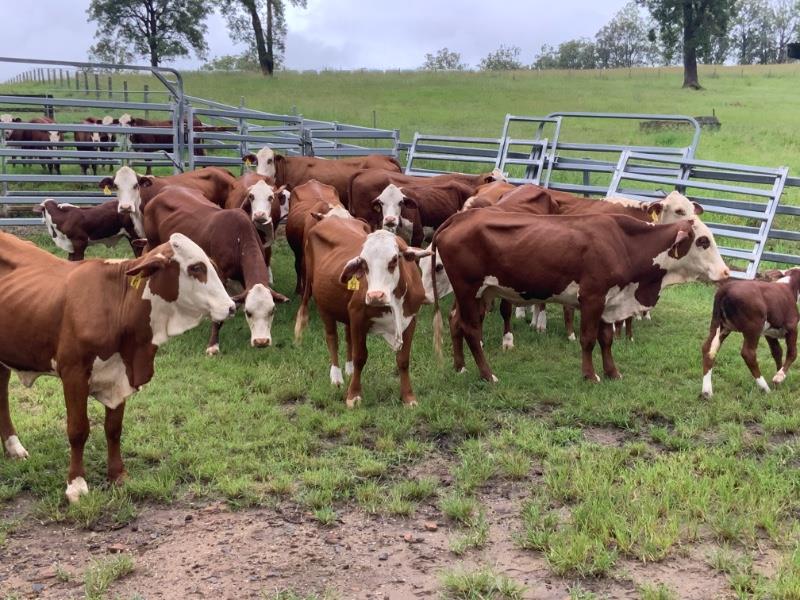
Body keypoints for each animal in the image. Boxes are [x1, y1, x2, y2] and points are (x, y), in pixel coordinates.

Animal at [0, 230, 235, 503]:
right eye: (196, 267)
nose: (231, 307)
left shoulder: (120, 374)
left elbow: (113, 428)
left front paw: (117, 475)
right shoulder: (74, 373)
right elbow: (78, 430)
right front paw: (76, 484)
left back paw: (13, 448)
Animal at [143, 186, 289, 355]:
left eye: (272, 311)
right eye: (249, 313)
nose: (261, 341)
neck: (238, 238)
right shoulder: (221, 276)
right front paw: (213, 345)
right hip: (153, 243)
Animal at [294, 220, 429, 407]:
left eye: (394, 259)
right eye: (364, 263)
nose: (375, 295)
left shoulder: (410, 319)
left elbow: (403, 360)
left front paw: (408, 397)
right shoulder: (358, 316)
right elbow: (360, 356)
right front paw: (353, 395)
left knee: (348, 338)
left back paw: (349, 371)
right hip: (324, 306)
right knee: (332, 338)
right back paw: (336, 377)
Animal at [431, 211, 729, 382]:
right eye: (703, 241)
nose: (726, 272)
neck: (624, 243)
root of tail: (459, 218)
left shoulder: (610, 301)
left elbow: (607, 339)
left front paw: (612, 372)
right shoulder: (592, 298)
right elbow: (588, 340)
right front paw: (590, 374)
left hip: (478, 293)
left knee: (455, 321)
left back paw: (460, 367)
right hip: (469, 289)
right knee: (471, 330)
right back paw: (487, 374)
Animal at [701, 269, 800, 398]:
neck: (790, 286)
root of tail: (726, 288)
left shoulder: (769, 333)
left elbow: (777, 352)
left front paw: (779, 379)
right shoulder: (792, 327)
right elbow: (792, 353)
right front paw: (779, 377)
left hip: (720, 325)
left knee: (708, 349)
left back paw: (706, 392)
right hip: (753, 327)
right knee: (748, 353)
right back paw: (764, 388)